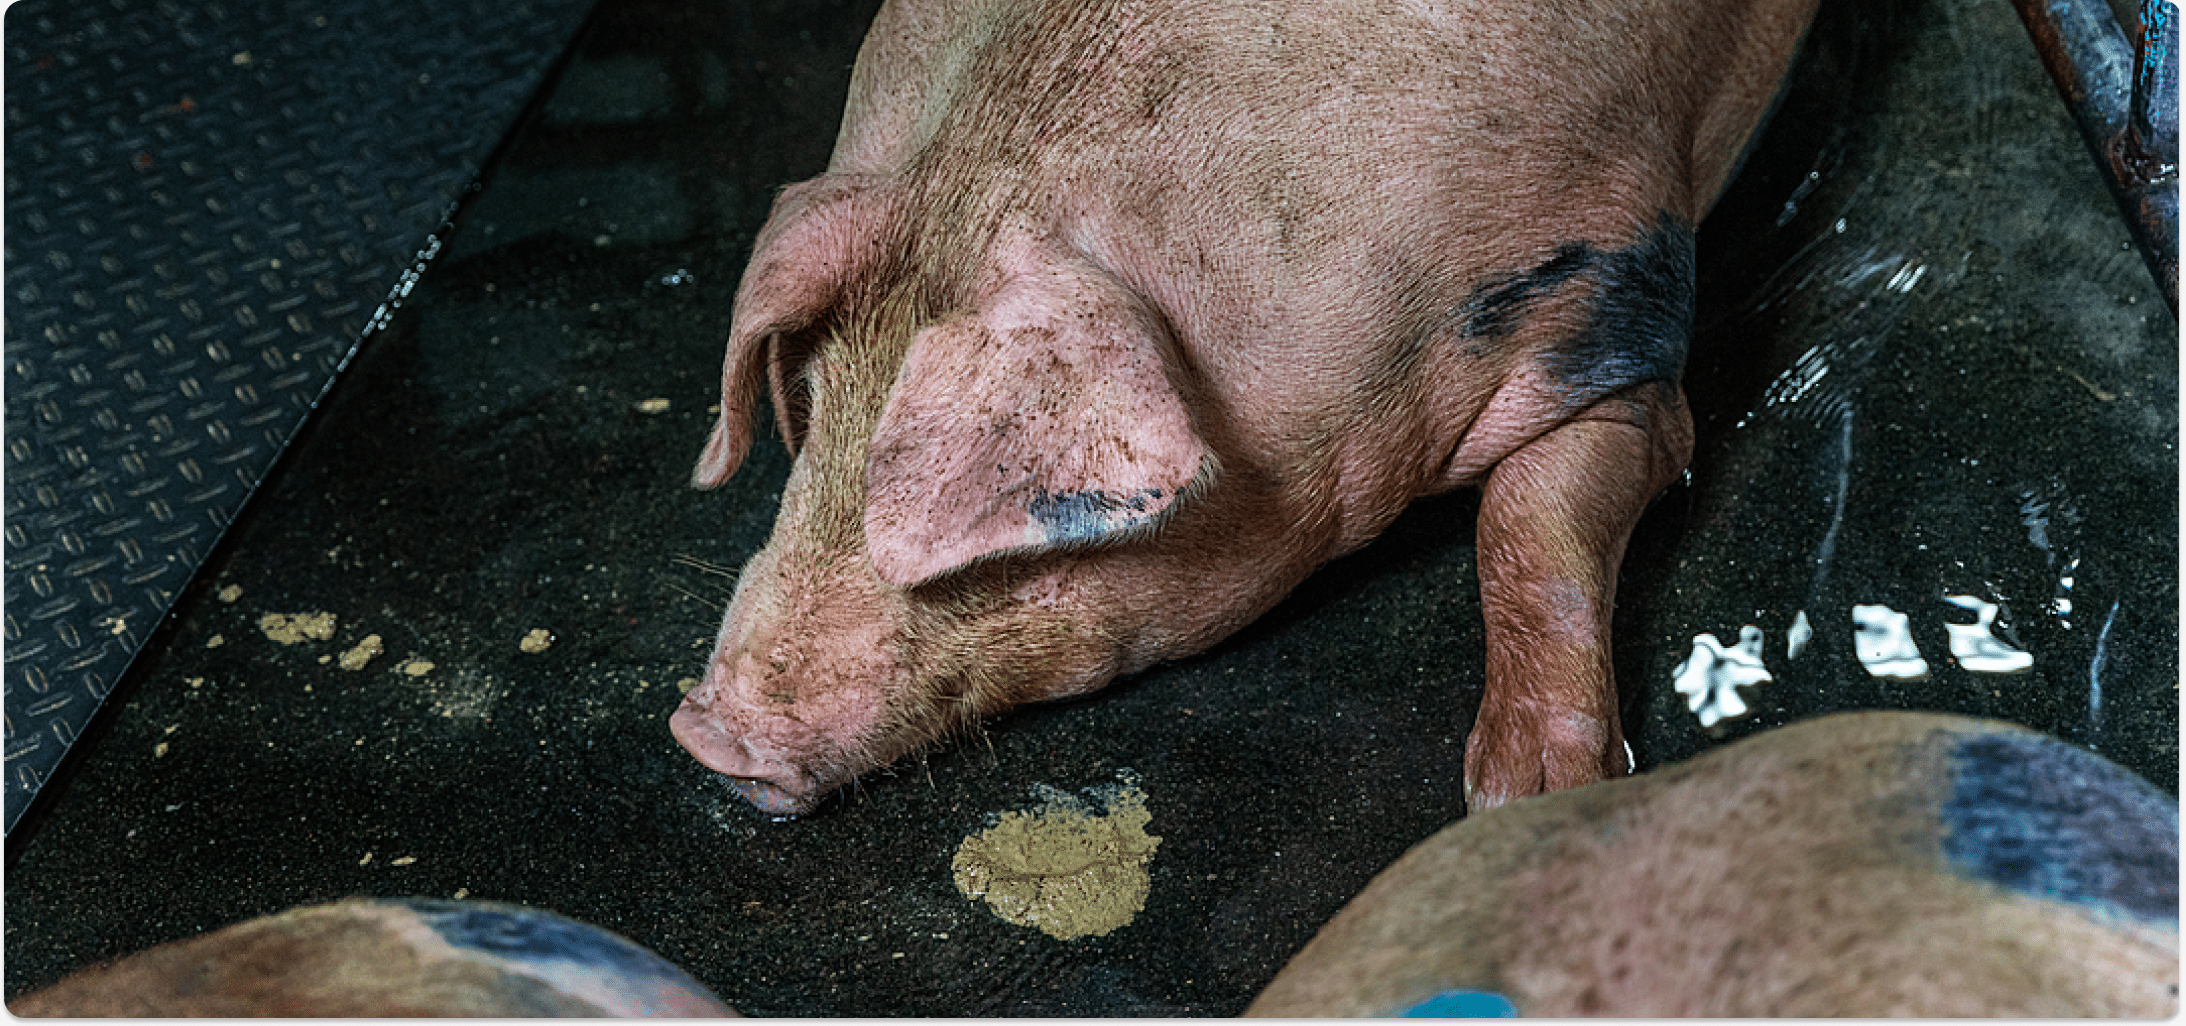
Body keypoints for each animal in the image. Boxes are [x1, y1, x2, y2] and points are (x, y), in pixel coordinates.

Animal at [672, 0, 1822, 815]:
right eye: (818, 412)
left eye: (1023, 545)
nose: (702, 733)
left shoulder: (1614, 312)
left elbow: (1529, 522)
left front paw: (1517, 798)